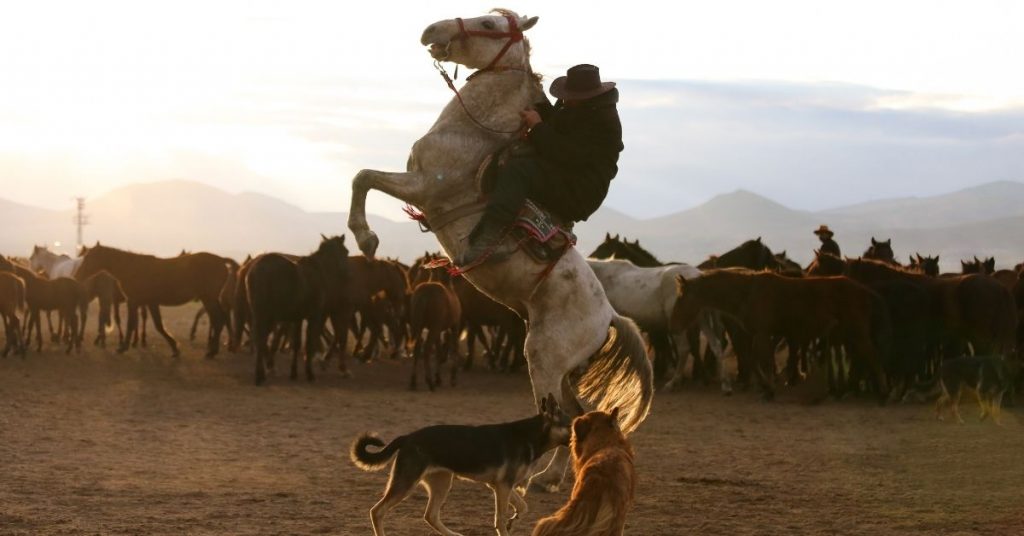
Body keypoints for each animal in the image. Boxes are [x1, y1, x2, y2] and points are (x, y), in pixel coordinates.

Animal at [74, 244, 231, 358]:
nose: (77, 276)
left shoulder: (135, 302)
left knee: (218, 319)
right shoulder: (148, 303)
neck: (132, 269)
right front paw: (174, 348)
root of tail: (222, 260)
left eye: (88, 259)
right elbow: (157, 325)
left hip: (209, 299)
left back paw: (213, 350)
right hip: (209, 299)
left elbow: (133, 324)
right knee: (220, 319)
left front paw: (123, 347)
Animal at [244, 235, 350, 384]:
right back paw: (262, 373)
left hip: (260, 314)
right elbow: (309, 343)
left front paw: (294, 373)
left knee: (260, 339)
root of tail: (255, 270)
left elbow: (297, 344)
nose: (347, 276)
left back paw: (261, 374)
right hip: (267, 315)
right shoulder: (314, 316)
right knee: (261, 338)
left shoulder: (297, 318)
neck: (318, 271)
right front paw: (309, 373)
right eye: (346, 252)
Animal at [346, 9, 653, 491]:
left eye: (490, 25)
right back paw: (551, 478)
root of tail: (609, 315)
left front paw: (366, 238)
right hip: (563, 369)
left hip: (542, 358)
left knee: (561, 415)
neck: (470, 134)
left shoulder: (423, 187)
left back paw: (539, 478)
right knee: (577, 414)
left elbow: (362, 177)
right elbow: (362, 177)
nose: (431, 30)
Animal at [673, 268, 891, 402]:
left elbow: (763, 360)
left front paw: (769, 390)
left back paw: (882, 394)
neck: (747, 292)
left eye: (682, 296)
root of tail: (864, 291)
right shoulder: (756, 334)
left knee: (873, 357)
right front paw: (765, 387)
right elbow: (753, 360)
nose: (674, 322)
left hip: (857, 333)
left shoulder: (762, 334)